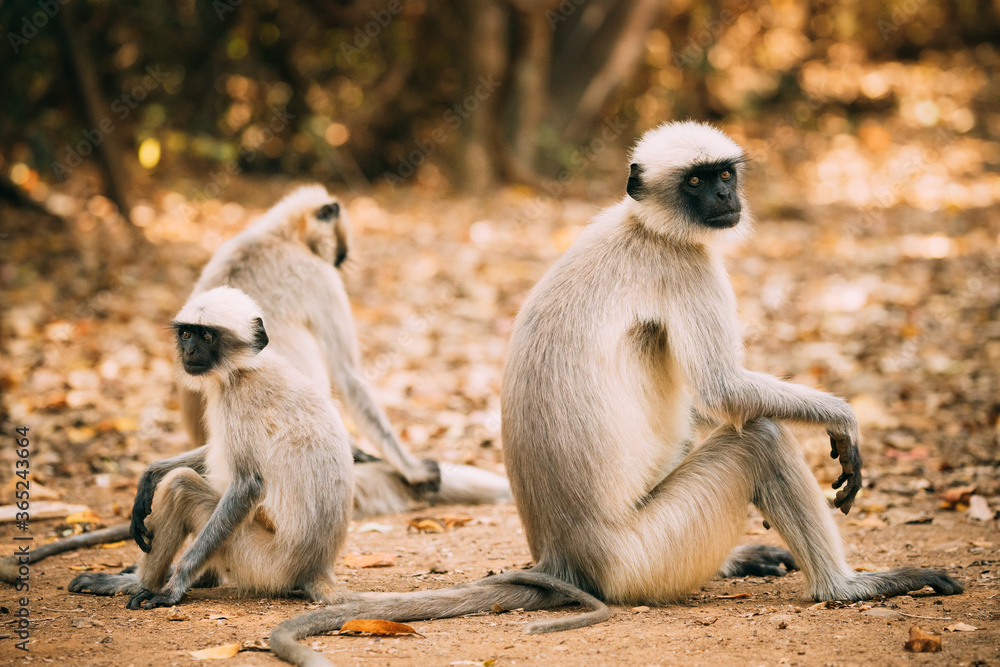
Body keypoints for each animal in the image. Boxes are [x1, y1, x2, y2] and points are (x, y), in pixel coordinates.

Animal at [68, 287, 607, 645]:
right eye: (186, 334)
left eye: (206, 336)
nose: (190, 351)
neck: (245, 369)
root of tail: (314, 564)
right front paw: (148, 477)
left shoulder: (239, 399)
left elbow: (244, 486)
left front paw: (174, 586)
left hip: (262, 561)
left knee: (186, 490)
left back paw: (151, 582)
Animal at [265, 121, 962, 667]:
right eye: (696, 182)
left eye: (723, 175)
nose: (725, 196)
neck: (644, 226)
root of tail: (566, 562)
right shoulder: (686, 266)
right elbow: (724, 390)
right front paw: (844, 419)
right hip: (642, 555)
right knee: (758, 434)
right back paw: (846, 589)